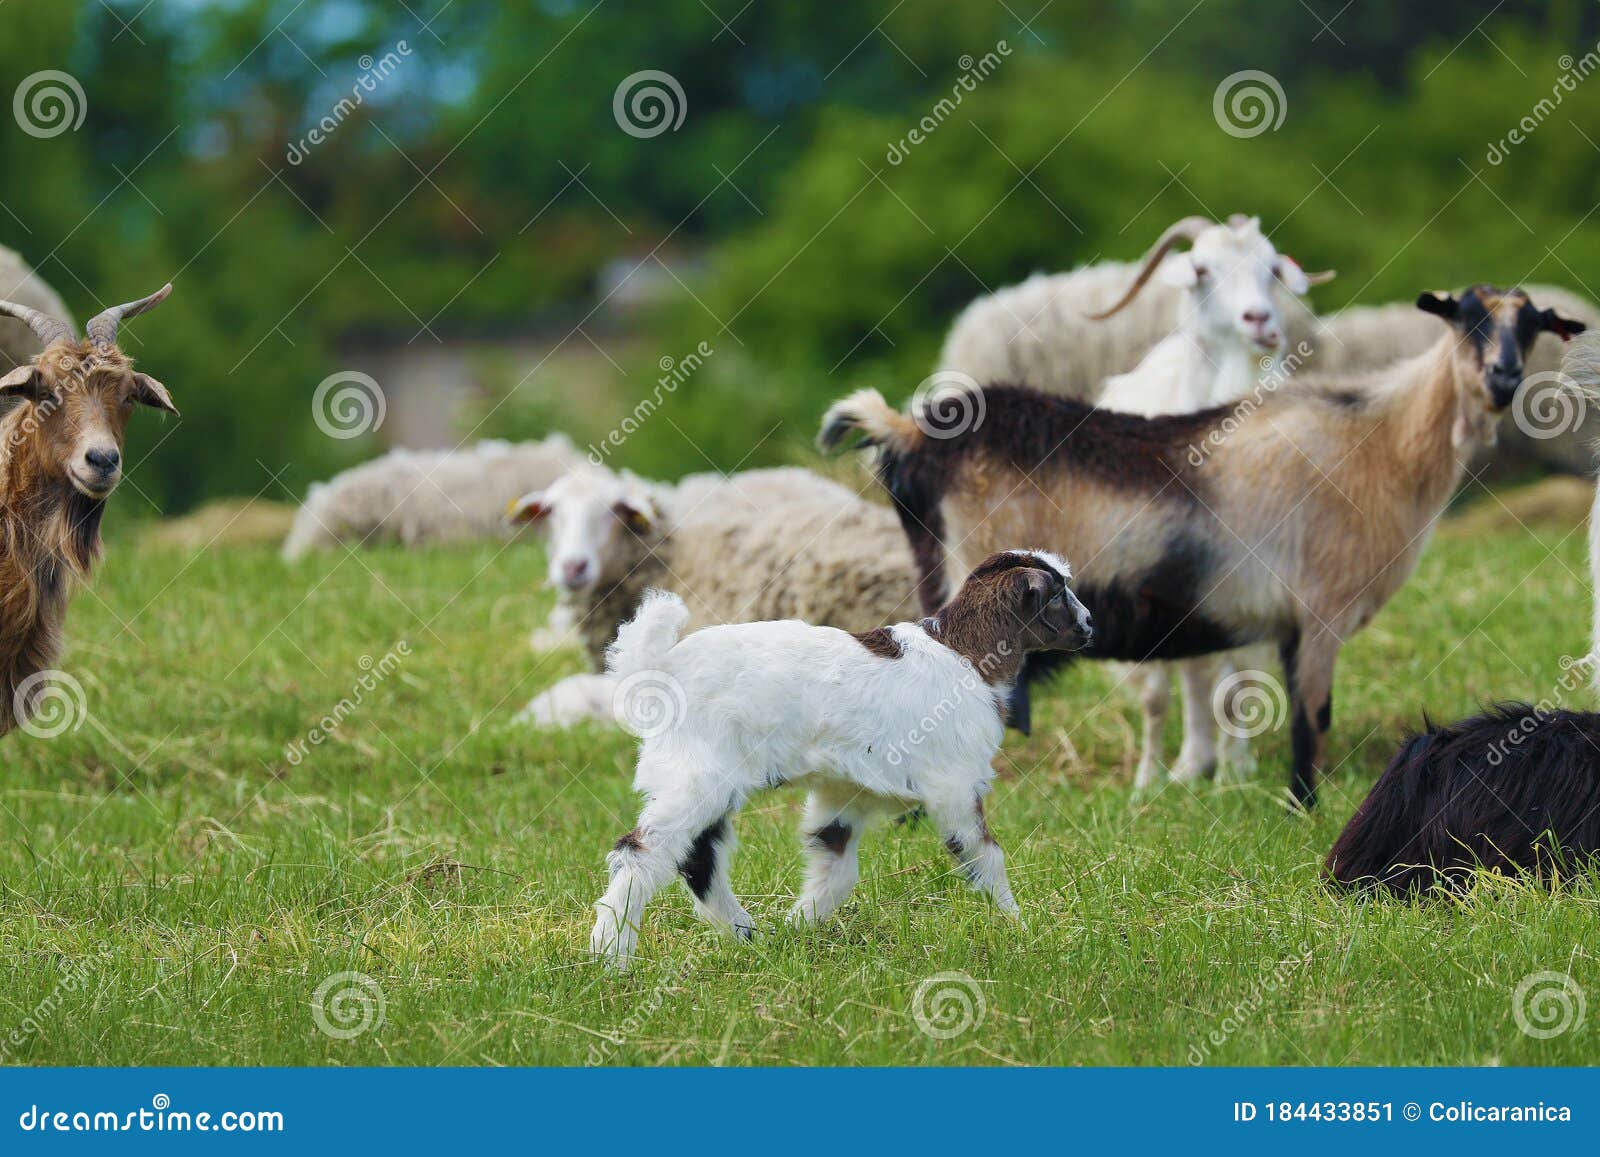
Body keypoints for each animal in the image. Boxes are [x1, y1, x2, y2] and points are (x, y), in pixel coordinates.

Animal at [588, 550, 1092, 968]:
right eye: (1057, 594)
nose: (1089, 626)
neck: (964, 653)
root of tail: (661, 668)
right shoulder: (955, 783)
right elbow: (984, 855)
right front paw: (1019, 928)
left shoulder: (844, 791)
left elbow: (835, 869)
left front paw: (798, 930)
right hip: (698, 775)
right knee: (643, 853)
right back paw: (611, 956)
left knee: (698, 859)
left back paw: (749, 936)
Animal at [822, 286, 1585, 809]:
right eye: (1467, 317)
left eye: (1532, 326)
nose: (1504, 380)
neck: (1382, 443)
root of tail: (913, 434)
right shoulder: (1320, 610)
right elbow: (1311, 718)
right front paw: (1303, 806)